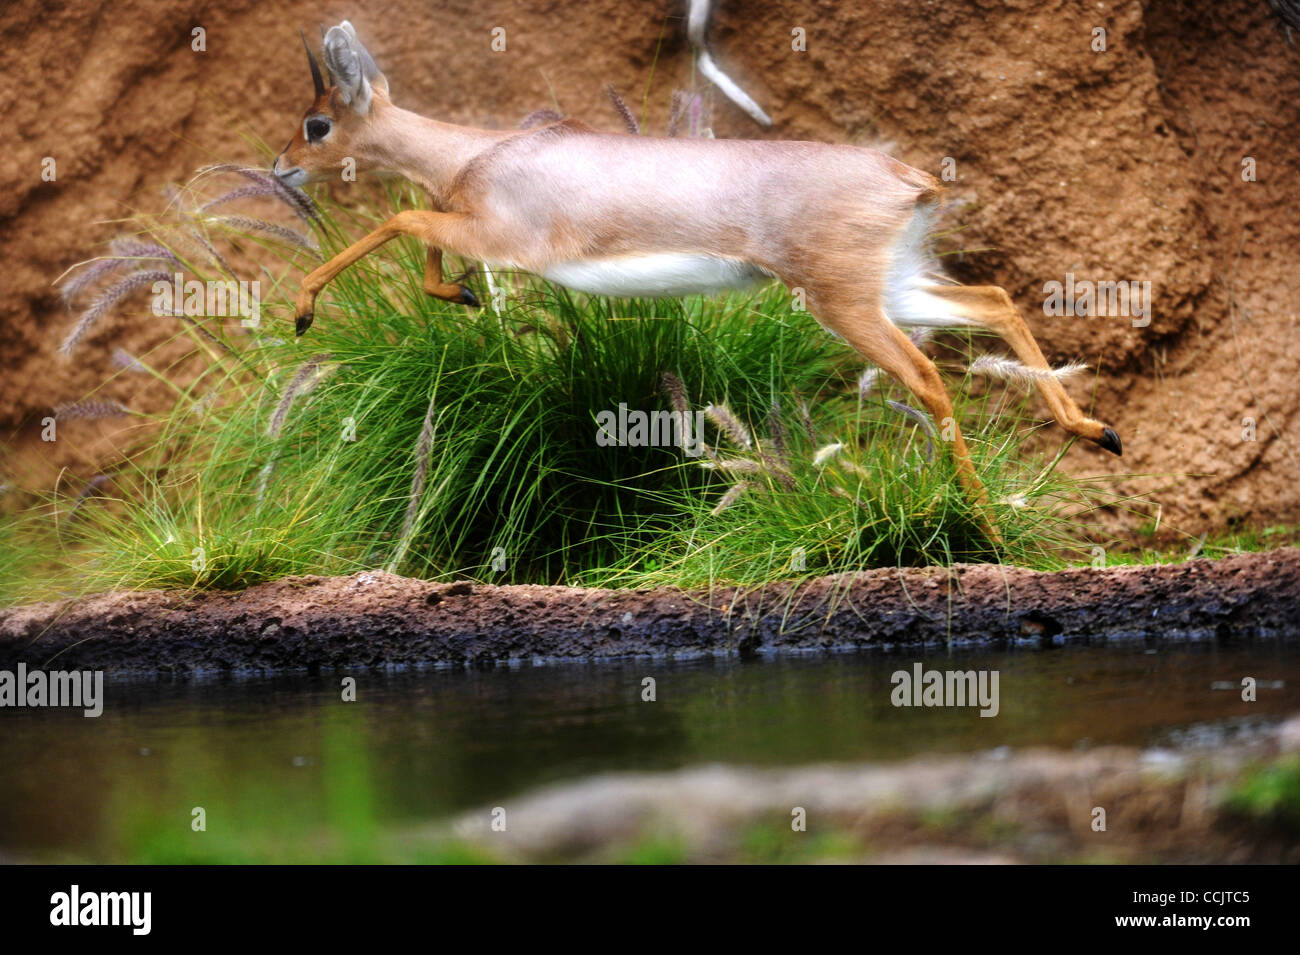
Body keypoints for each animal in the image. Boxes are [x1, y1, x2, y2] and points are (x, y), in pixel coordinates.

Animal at [272, 21, 1122, 540]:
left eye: (317, 122)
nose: (280, 167)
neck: (480, 155)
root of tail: (908, 180)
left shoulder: (504, 239)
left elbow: (402, 222)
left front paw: (306, 310)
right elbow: (414, 226)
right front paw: (460, 294)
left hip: (844, 302)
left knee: (925, 375)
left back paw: (985, 524)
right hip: (894, 287)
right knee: (994, 301)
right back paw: (1095, 433)